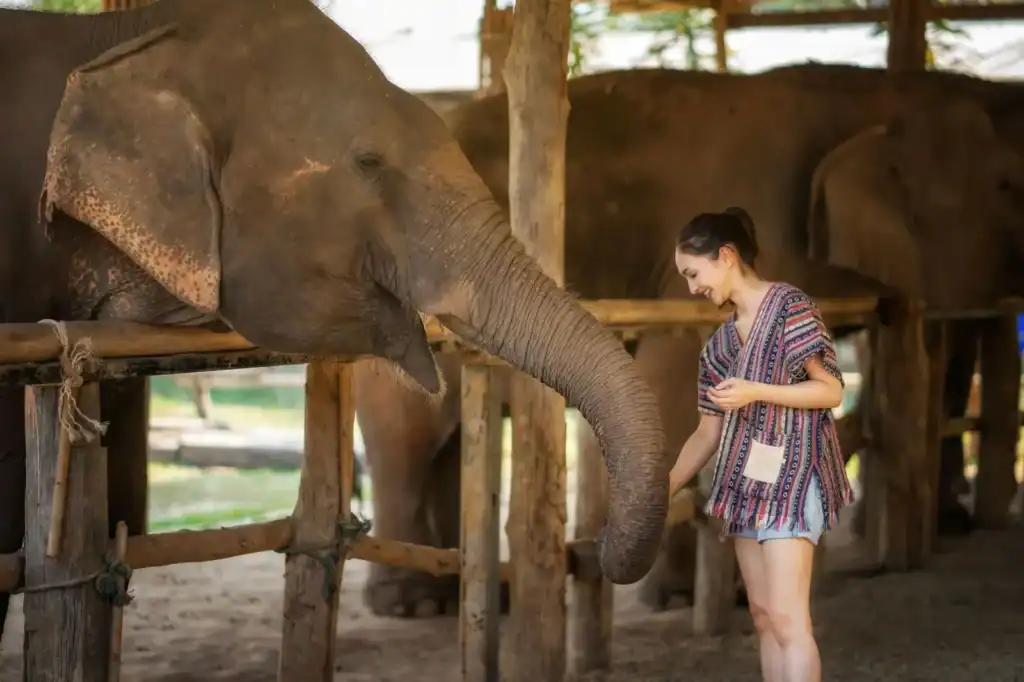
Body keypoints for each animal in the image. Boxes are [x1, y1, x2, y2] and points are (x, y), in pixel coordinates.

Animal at [354, 63, 1024, 617]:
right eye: (1009, 189)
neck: (868, 93)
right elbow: (674, 382)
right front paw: (677, 596)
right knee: (408, 429)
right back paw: (411, 605)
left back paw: (472, 598)